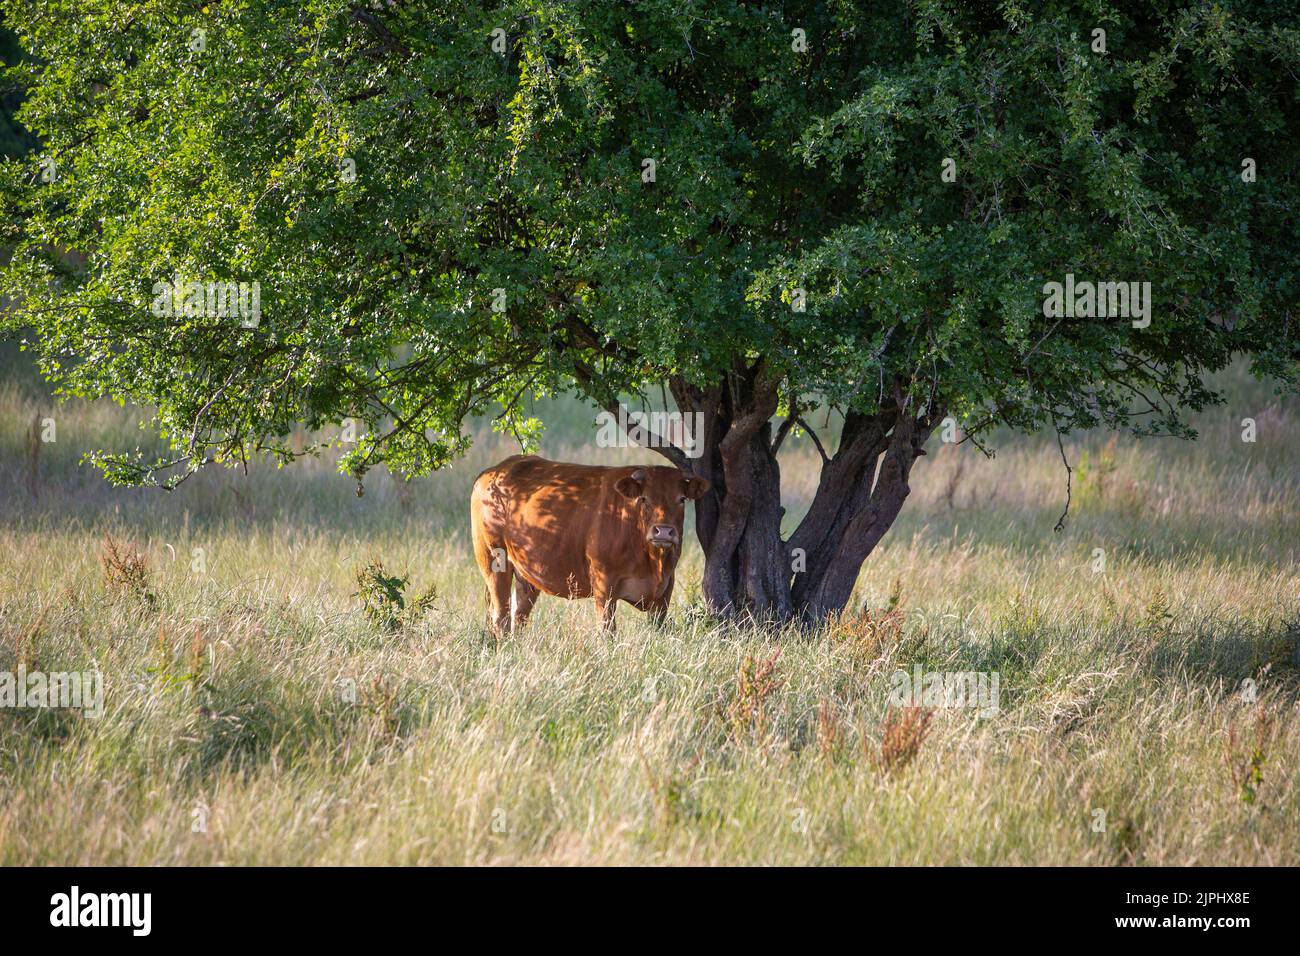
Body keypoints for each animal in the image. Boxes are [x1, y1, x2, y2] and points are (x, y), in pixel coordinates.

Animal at [471, 455, 710, 634]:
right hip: (493, 562)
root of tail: (494, 471)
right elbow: (607, 631)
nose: (664, 531)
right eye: (644, 499)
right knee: (500, 616)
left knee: (518, 614)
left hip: (526, 574)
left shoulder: (664, 592)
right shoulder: (604, 587)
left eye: (681, 499)